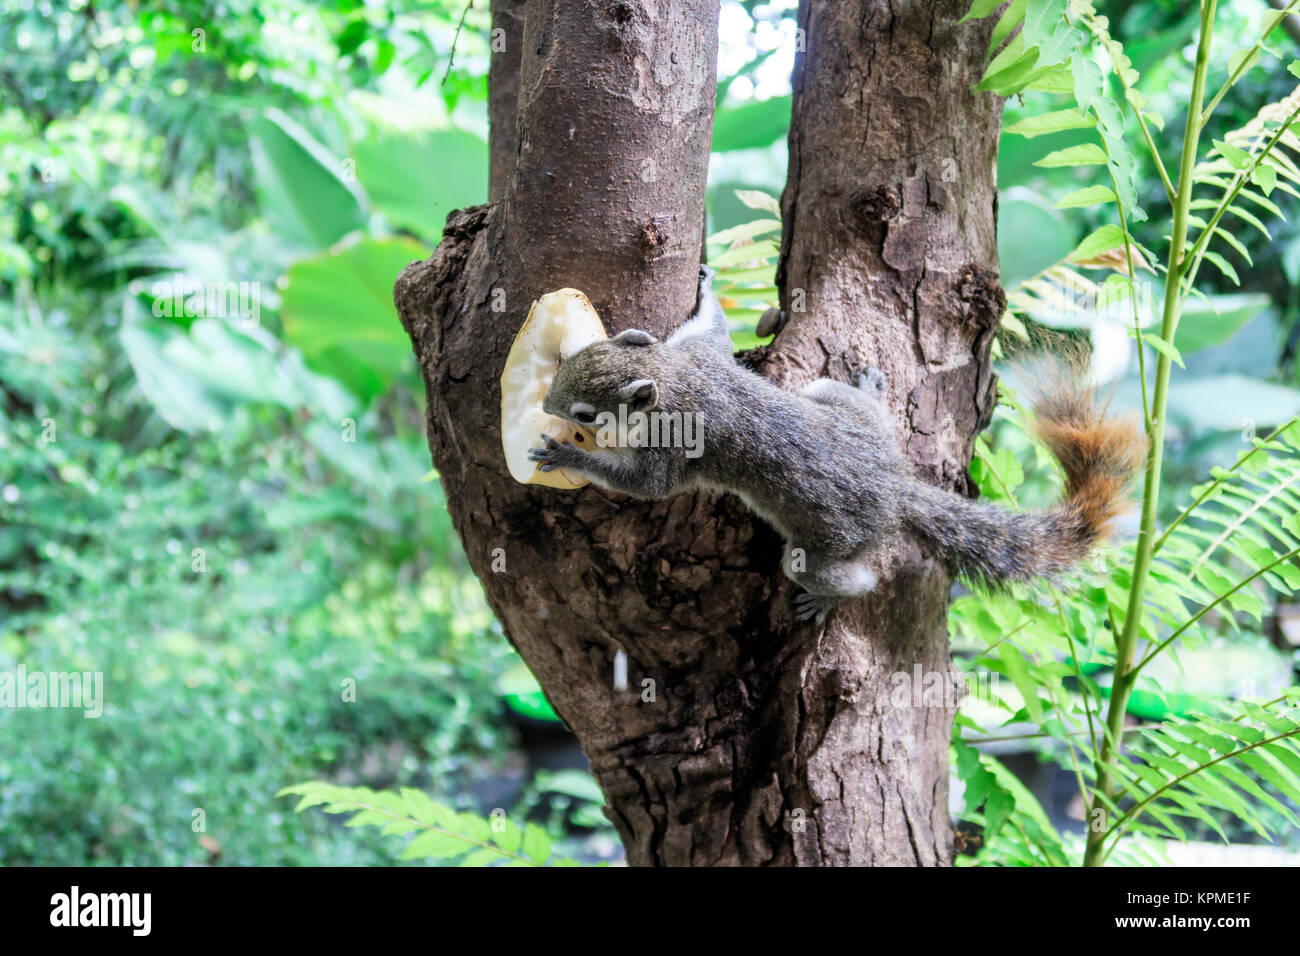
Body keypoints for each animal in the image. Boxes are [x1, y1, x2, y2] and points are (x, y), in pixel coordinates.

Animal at [530, 266, 1147, 624]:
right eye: (572, 358)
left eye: (585, 414)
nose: (546, 405)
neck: (675, 379)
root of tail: (895, 489)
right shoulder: (697, 354)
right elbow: (711, 329)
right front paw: (706, 288)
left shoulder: (673, 451)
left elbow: (644, 486)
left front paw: (568, 455)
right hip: (828, 398)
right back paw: (869, 390)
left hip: (824, 548)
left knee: (853, 578)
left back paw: (831, 598)